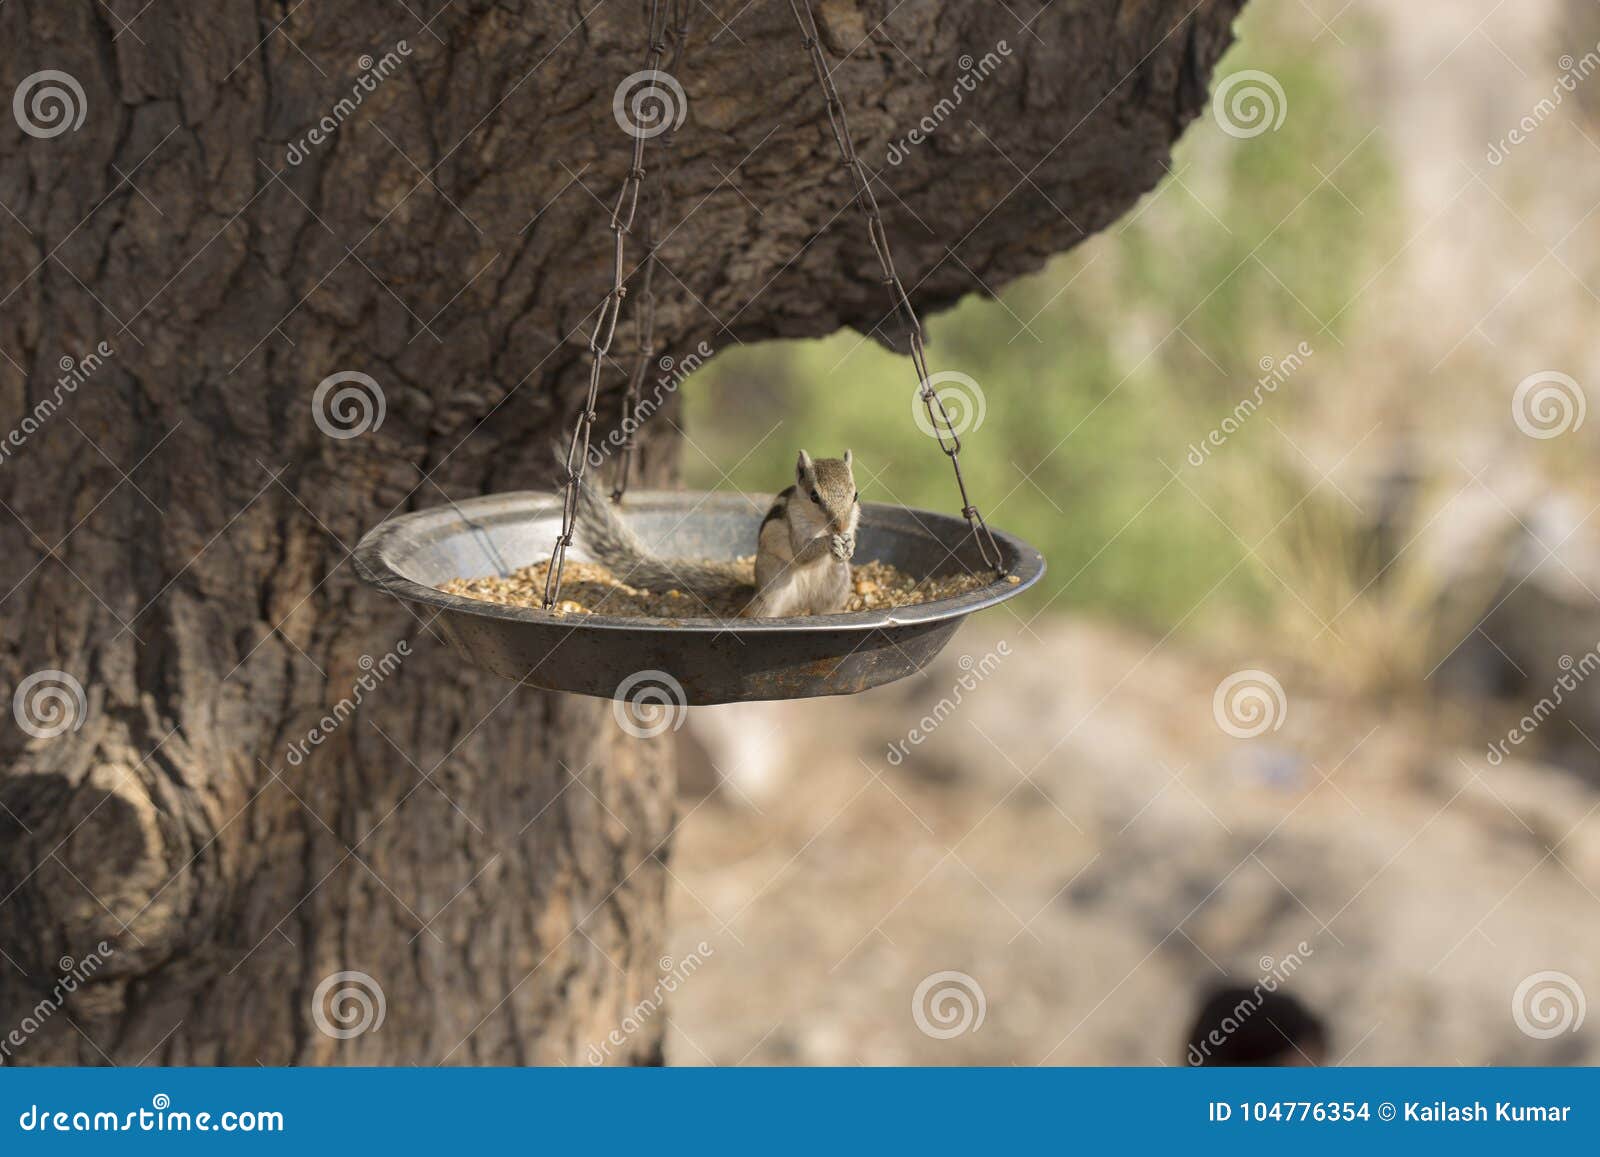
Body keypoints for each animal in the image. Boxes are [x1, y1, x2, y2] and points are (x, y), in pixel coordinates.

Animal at [574, 449, 861, 618]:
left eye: (855, 495)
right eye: (814, 496)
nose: (841, 526)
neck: (818, 523)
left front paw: (849, 544)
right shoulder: (794, 524)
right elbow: (802, 553)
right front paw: (829, 542)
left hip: (836, 583)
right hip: (777, 587)